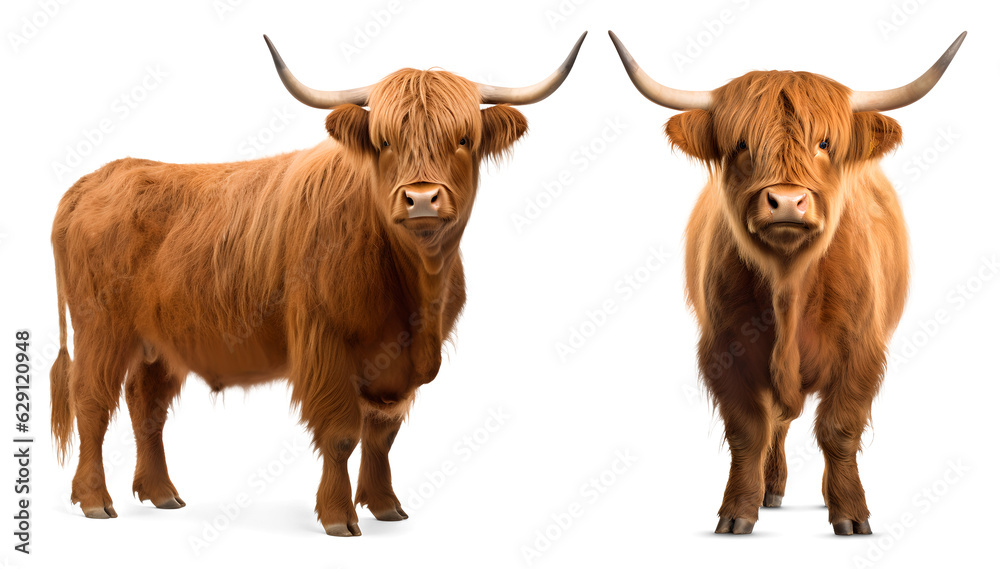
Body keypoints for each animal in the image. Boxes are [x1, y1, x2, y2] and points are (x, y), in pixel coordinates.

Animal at [49, 32, 586, 536]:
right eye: (384, 141)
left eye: (463, 139)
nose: (421, 198)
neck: (416, 293)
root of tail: (94, 180)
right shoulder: (325, 343)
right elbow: (341, 433)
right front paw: (338, 516)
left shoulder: (394, 367)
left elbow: (382, 433)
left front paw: (386, 506)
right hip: (101, 328)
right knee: (91, 401)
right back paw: (95, 500)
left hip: (159, 342)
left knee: (148, 406)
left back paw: (162, 493)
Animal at [609, 30, 965, 535]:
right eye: (741, 143)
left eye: (825, 142)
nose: (787, 202)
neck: (789, 284)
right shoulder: (724, 350)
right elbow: (748, 431)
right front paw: (737, 511)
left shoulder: (862, 350)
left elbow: (838, 429)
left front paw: (850, 513)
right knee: (777, 422)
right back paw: (771, 488)